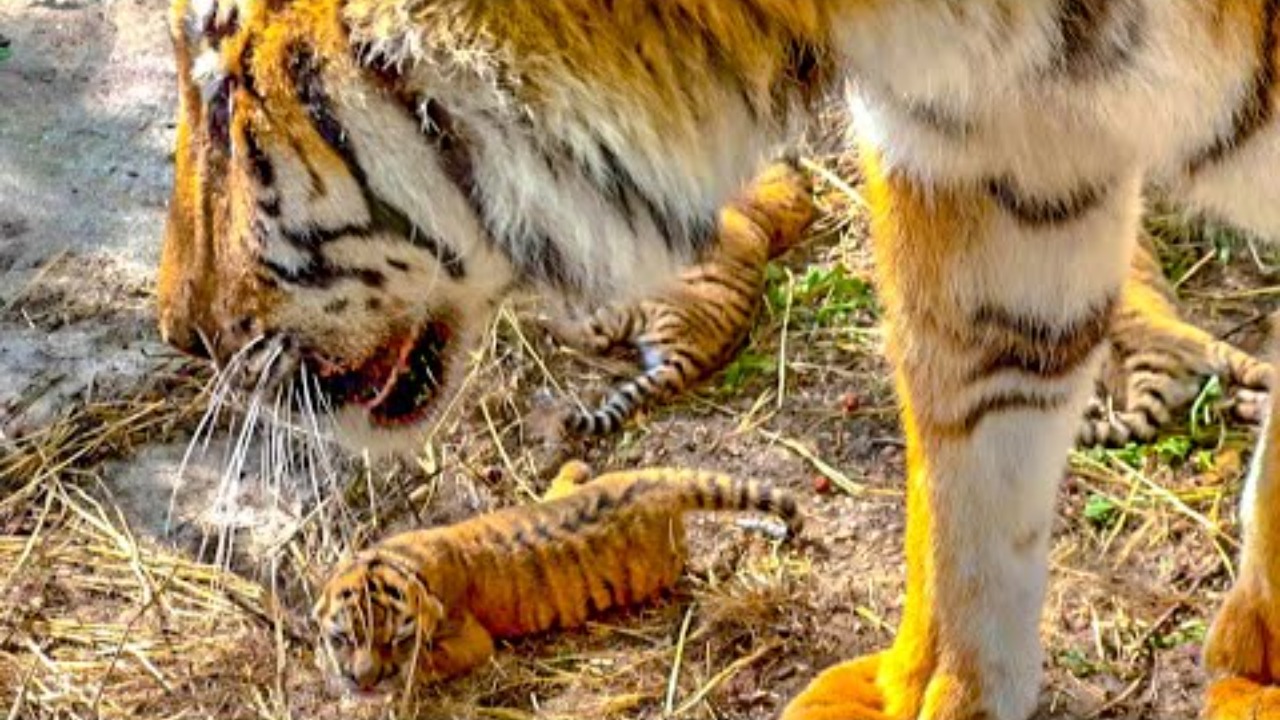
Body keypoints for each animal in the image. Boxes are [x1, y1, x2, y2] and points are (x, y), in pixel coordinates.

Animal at [312, 460, 800, 695]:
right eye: (343, 637)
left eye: (397, 640)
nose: (364, 680)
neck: (400, 560)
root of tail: (656, 482)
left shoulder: (471, 642)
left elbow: (427, 663)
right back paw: (574, 466)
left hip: (667, 560)